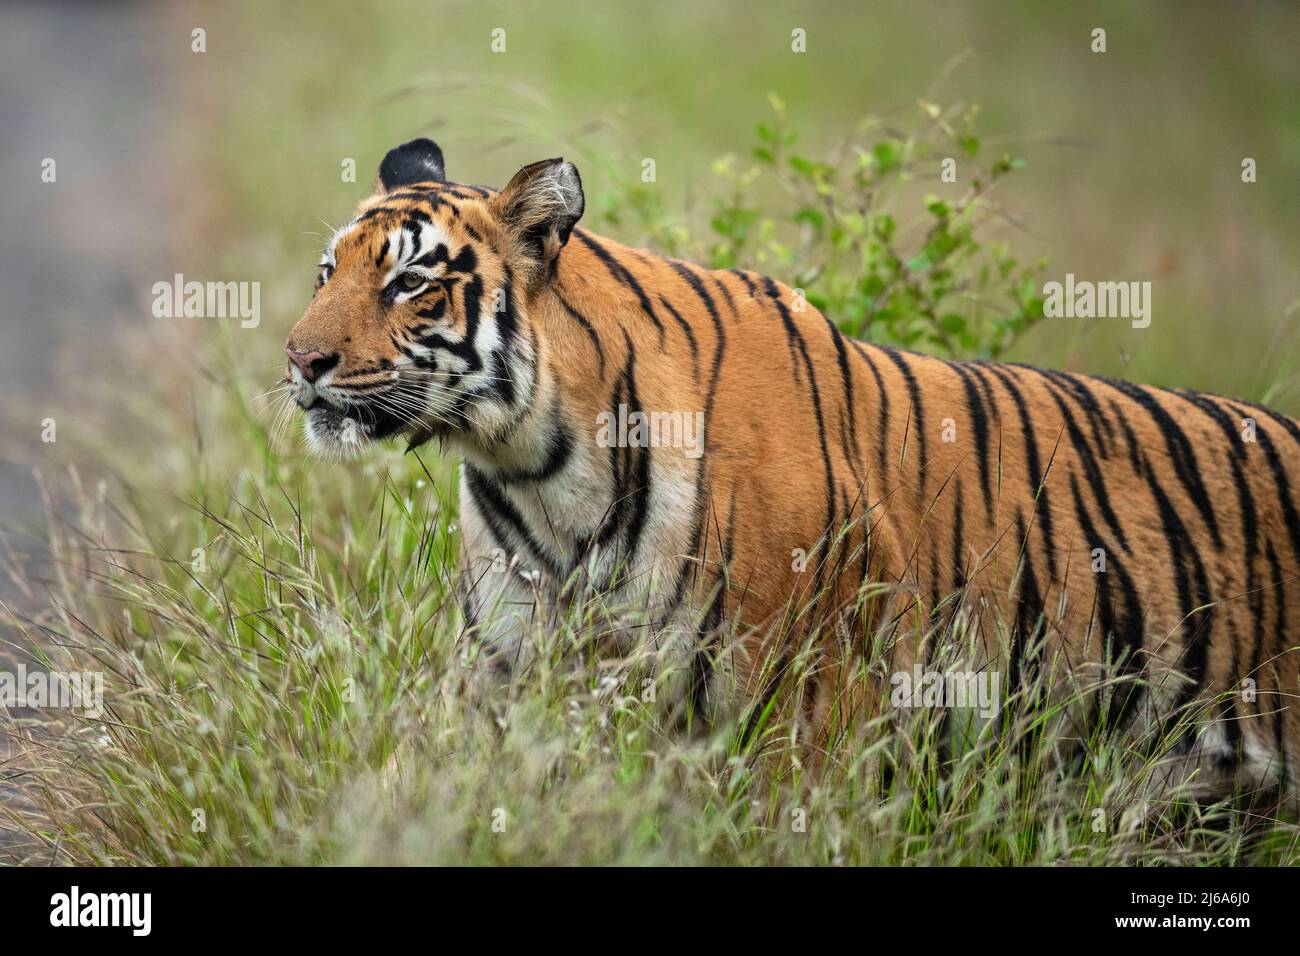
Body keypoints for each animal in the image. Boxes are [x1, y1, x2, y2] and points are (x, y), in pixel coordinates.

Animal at [284, 137, 1300, 803]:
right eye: (326, 272)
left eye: (410, 283)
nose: (300, 360)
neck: (538, 471)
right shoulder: (506, 669)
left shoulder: (804, 693)